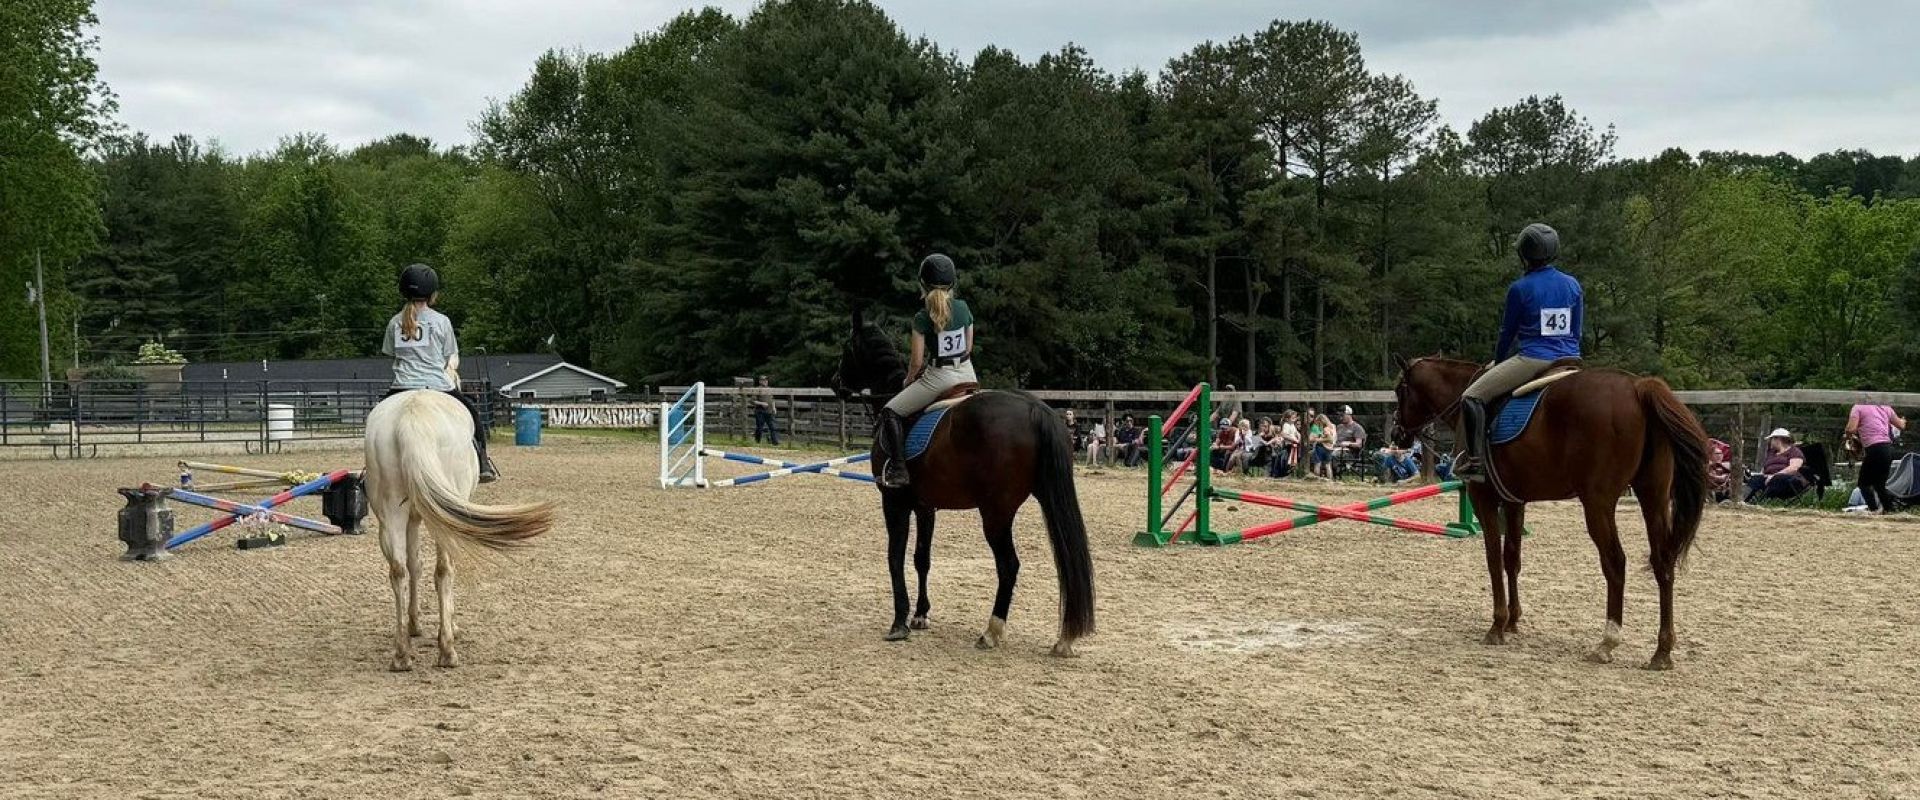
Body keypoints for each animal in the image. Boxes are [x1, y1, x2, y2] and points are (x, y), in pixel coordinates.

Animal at [363, 389, 555, 671]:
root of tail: (411, 418)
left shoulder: (412, 519)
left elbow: (414, 565)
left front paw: (415, 625)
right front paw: (450, 626)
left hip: (390, 516)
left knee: (398, 571)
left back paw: (401, 654)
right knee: (444, 570)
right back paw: (447, 650)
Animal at [831, 310, 1095, 656]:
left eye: (847, 348)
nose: (834, 384)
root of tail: (1036, 409)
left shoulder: (894, 502)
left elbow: (895, 558)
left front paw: (899, 622)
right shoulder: (925, 507)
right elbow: (922, 558)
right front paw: (920, 615)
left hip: (995, 513)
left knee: (1009, 566)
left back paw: (991, 632)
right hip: (1045, 499)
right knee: (1064, 563)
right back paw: (1064, 639)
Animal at [1389, 356, 1709, 670]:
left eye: (1400, 391)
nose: (1397, 436)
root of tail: (1638, 387)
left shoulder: (1484, 500)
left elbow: (1493, 559)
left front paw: (1497, 626)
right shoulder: (1514, 502)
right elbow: (1512, 559)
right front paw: (1513, 621)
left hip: (1598, 503)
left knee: (1615, 562)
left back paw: (1607, 642)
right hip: (1653, 497)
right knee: (1662, 561)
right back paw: (1662, 652)